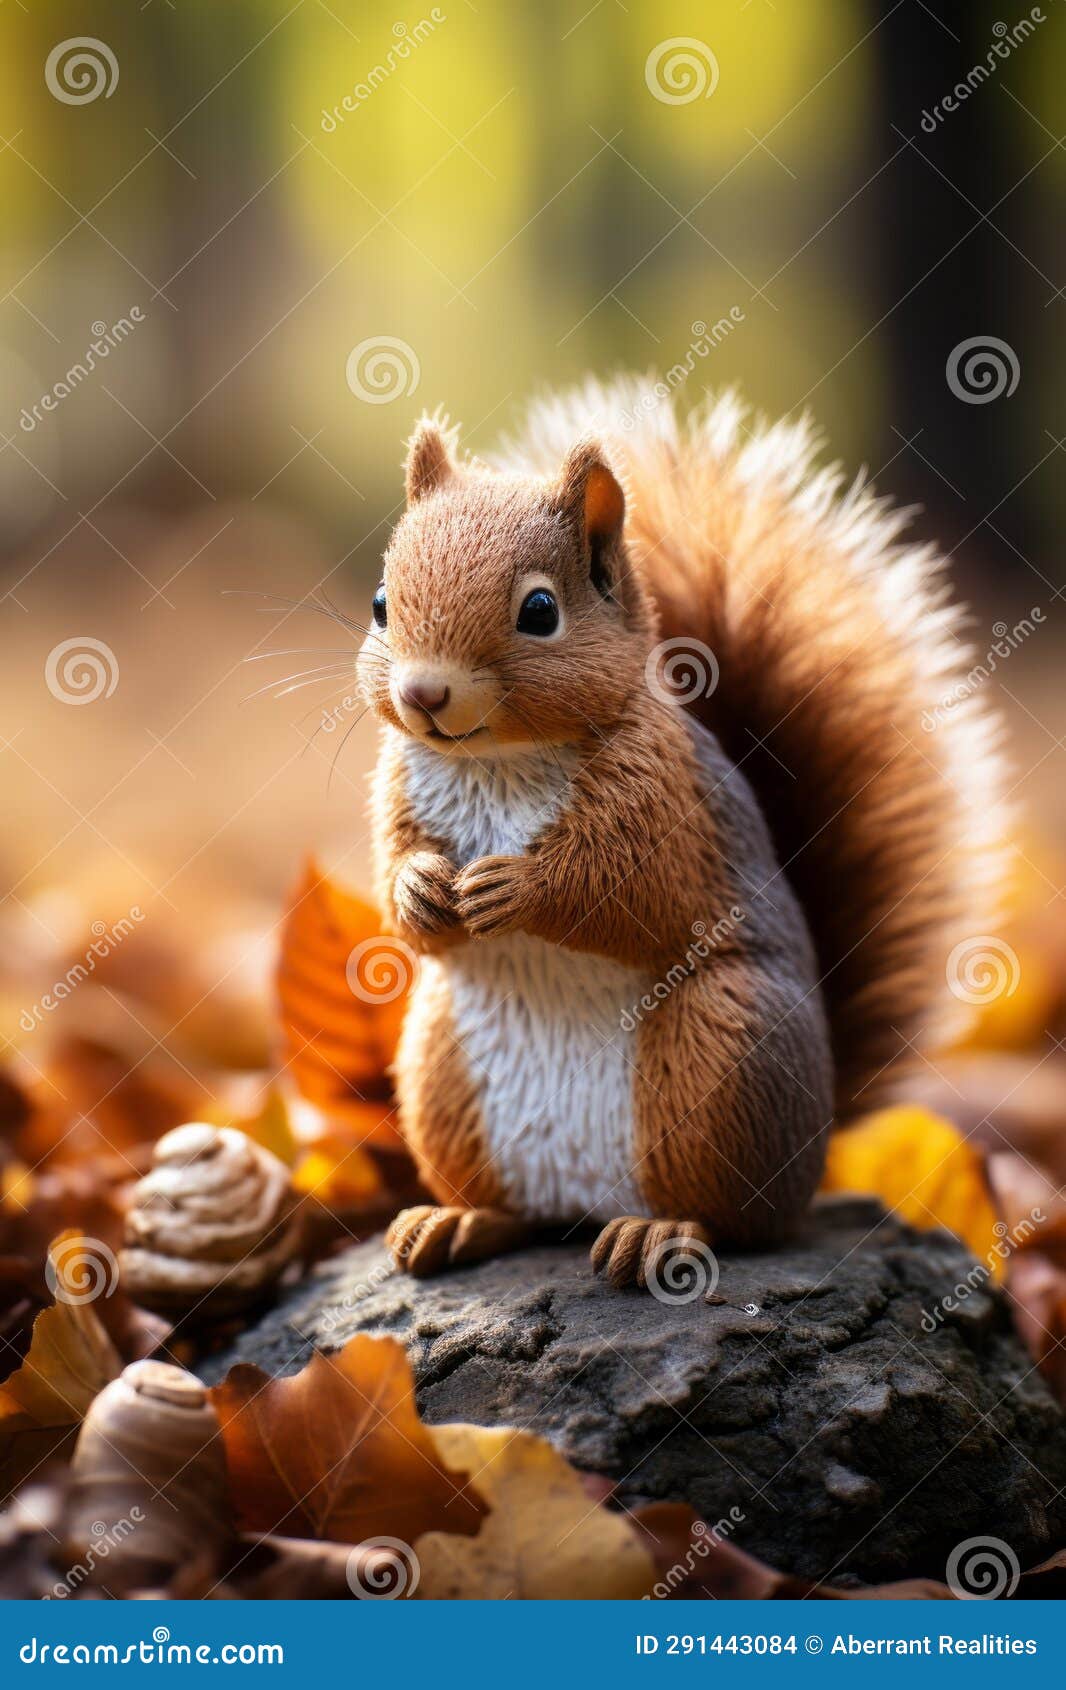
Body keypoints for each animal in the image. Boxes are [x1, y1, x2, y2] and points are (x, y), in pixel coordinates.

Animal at [355, 378, 1005, 1291]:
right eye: (381, 603)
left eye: (541, 611)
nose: (423, 695)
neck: (499, 763)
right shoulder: (399, 787)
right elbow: (394, 882)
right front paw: (421, 886)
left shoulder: (662, 804)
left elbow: (624, 893)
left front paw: (515, 886)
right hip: (443, 1071)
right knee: (515, 1210)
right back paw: (459, 1219)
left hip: (716, 1054)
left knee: (736, 1221)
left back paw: (659, 1235)